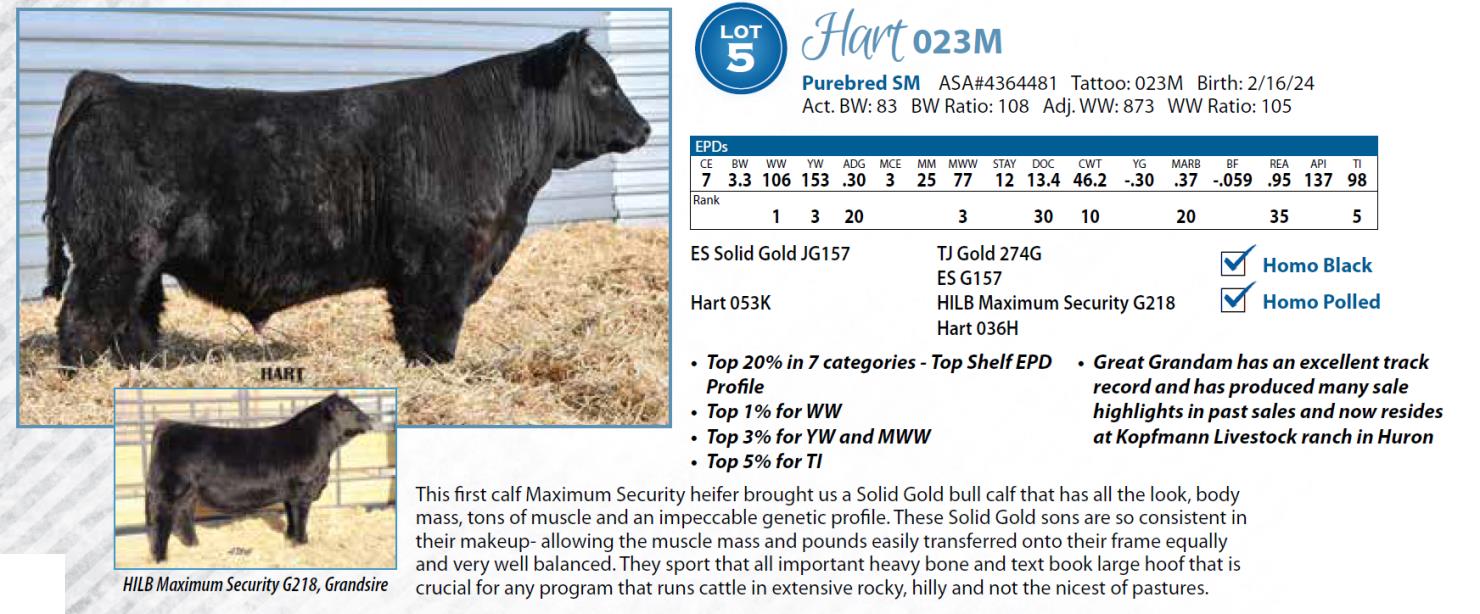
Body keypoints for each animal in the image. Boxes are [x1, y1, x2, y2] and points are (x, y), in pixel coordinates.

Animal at [42, 29, 650, 367]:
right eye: (601, 83)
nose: (644, 128)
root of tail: (111, 84)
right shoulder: (439, 261)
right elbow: (434, 328)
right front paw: (437, 369)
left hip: (138, 258)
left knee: (134, 320)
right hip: (113, 251)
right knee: (83, 320)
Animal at [145, 394, 379, 562]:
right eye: (346, 408)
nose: (371, 420)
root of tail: (170, 424)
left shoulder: (289, 494)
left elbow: (291, 518)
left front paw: (290, 540)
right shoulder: (303, 491)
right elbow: (301, 520)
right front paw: (302, 543)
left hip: (189, 493)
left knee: (184, 517)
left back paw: (194, 547)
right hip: (171, 490)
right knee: (162, 523)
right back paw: (162, 559)